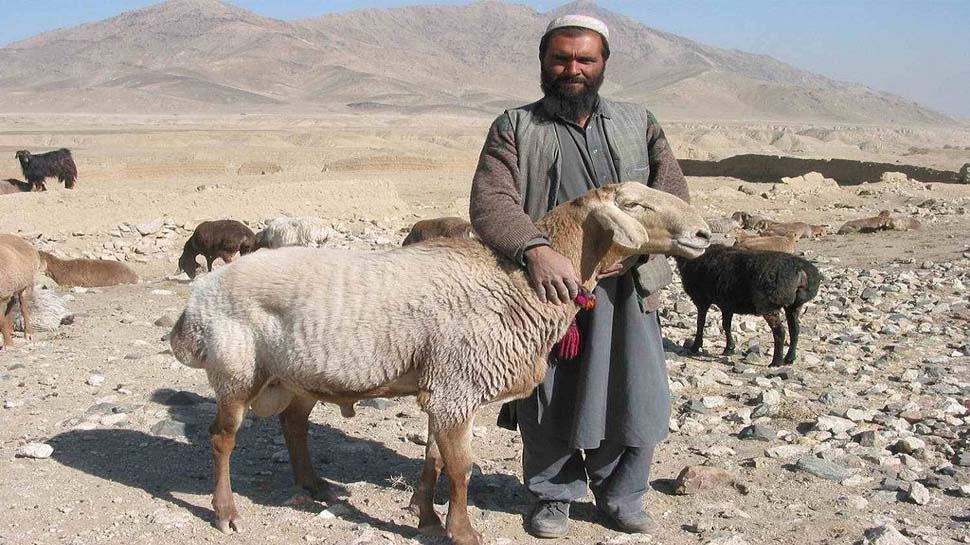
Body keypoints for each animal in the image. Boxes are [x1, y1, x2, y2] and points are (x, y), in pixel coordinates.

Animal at [168, 182, 711, 544]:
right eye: (634, 204)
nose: (705, 233)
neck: (517, 282)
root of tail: (193, 306)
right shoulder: (458, 385)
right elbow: (462, 468)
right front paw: (463, 532)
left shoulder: (446, 386)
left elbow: (434, 459)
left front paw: (428, 519)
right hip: (236, 369)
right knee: (222, 438)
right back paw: (226, 512)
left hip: (300, 376)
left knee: (293, 424)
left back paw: (316, 485)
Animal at [675, 244, 821, 367]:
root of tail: (801, 272)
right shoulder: (727, 304)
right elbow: (726, 325)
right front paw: (729, 348)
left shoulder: (701, 299)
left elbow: (700, 323)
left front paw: (695, 346)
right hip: (794, 305)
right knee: (795, 330)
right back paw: (790, 358)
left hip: (769, 303)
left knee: (780, 332)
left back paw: (776, 362)